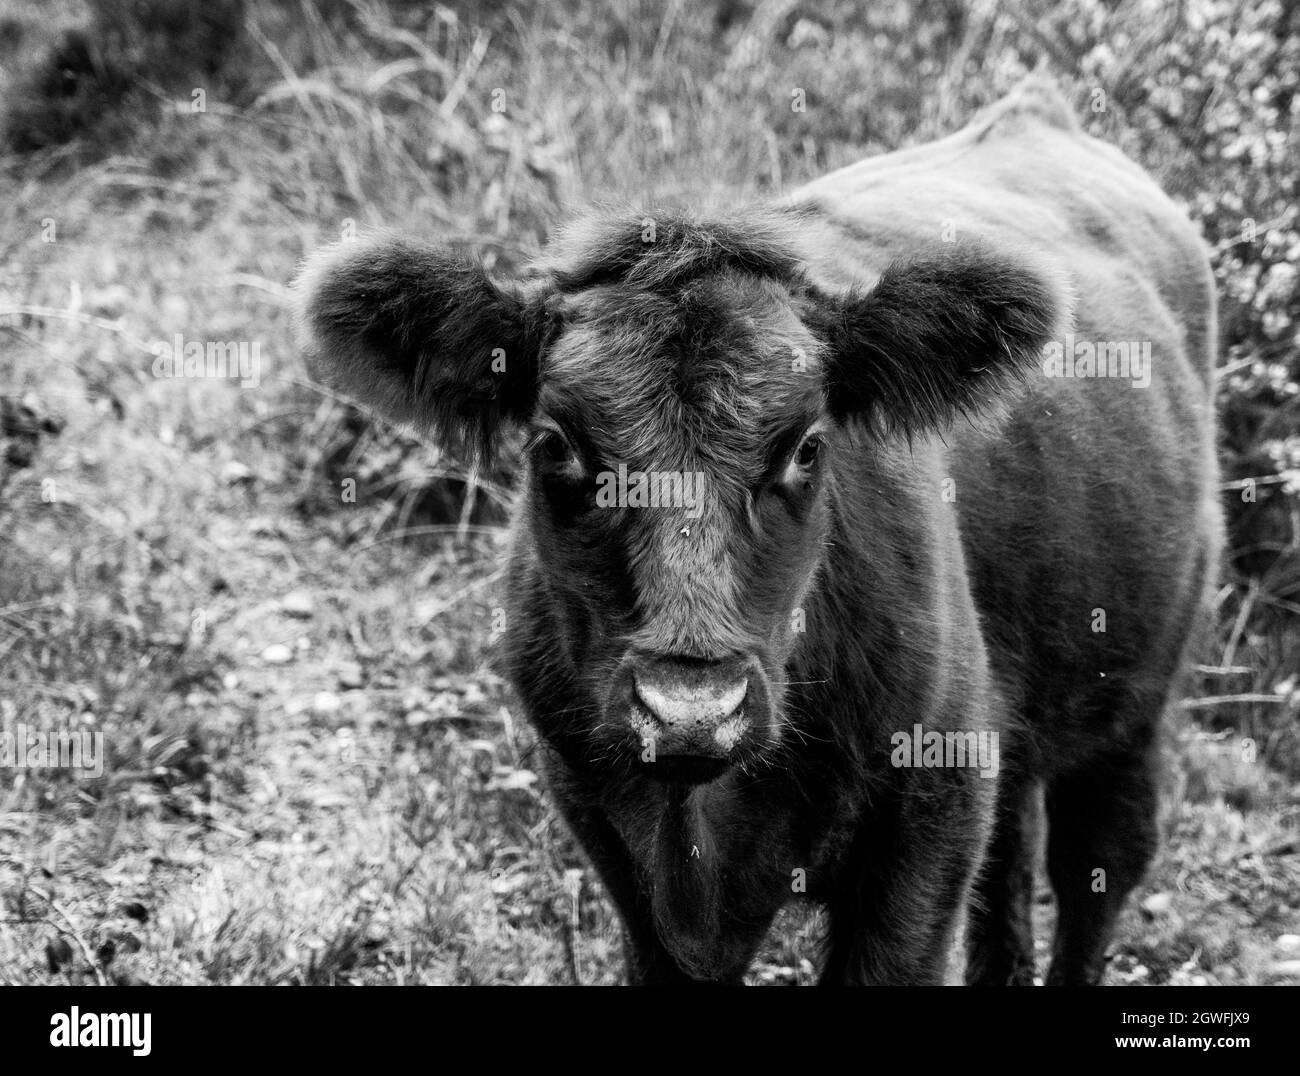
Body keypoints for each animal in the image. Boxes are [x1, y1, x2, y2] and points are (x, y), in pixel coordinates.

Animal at [293, 77, 1224, 985]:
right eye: (555, 443)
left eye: (808, 446)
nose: (690, 714)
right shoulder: (610, 835)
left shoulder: (931, 816)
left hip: (1136, 700)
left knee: (1099, 863)